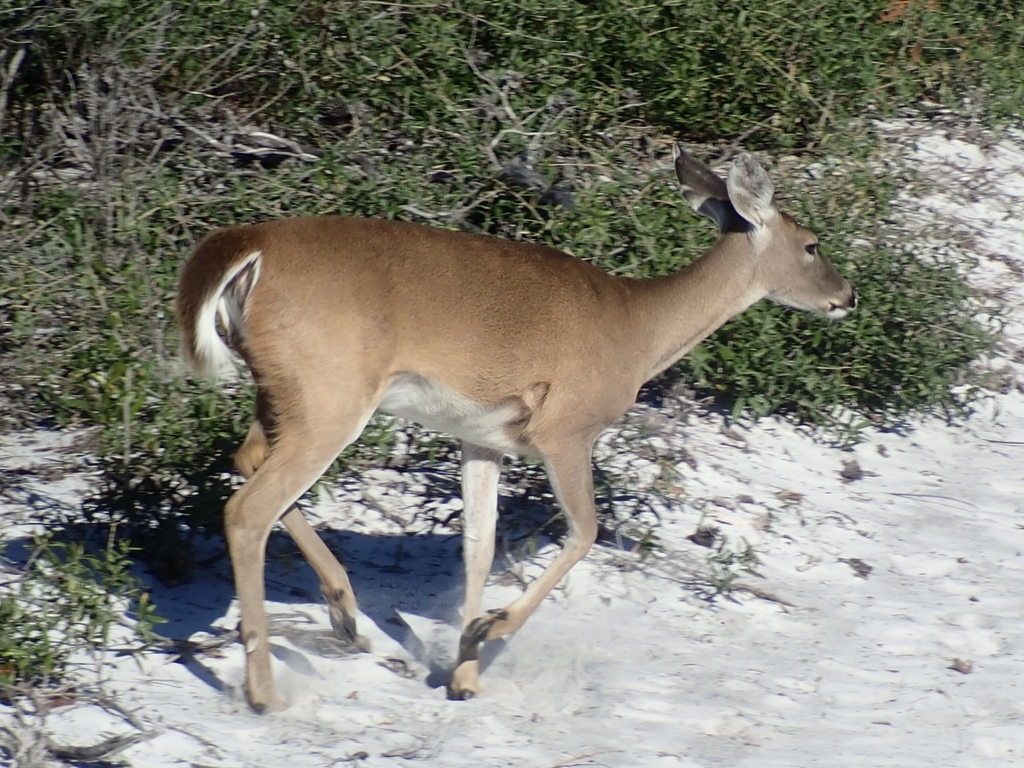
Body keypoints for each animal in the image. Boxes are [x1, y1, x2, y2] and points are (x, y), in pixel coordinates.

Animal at [175, 146, 855, 712]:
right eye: (812, 245)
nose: (847, 296)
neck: (637, 331)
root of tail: (251, 244)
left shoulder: (480, 438)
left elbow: (478, 546)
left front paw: (465, 674)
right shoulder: (566, 428)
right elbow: (584, 532)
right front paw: (487, 631)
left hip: (286, 390)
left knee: (247, 459)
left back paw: (355, 625)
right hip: (329, 392)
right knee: (248, 509)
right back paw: (267, 692)